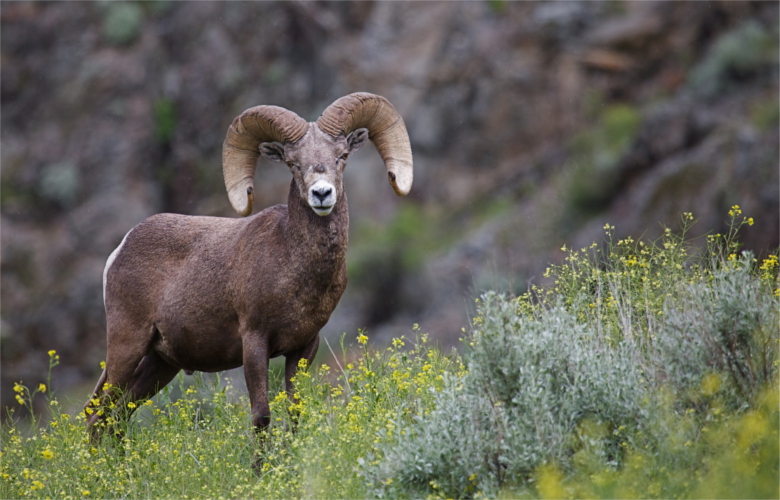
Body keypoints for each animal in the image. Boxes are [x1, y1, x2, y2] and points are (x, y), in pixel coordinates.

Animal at [85, 92, 413, 441]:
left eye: (343, 156)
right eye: (293, 163)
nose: (322, 194)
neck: (295, 267)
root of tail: (119, 251)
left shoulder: (304, 347)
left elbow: (294, 413)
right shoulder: (255, 343)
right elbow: (261, 416)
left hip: (160, 364)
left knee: (117, 418)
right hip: (127, 346)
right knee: (97, 416)